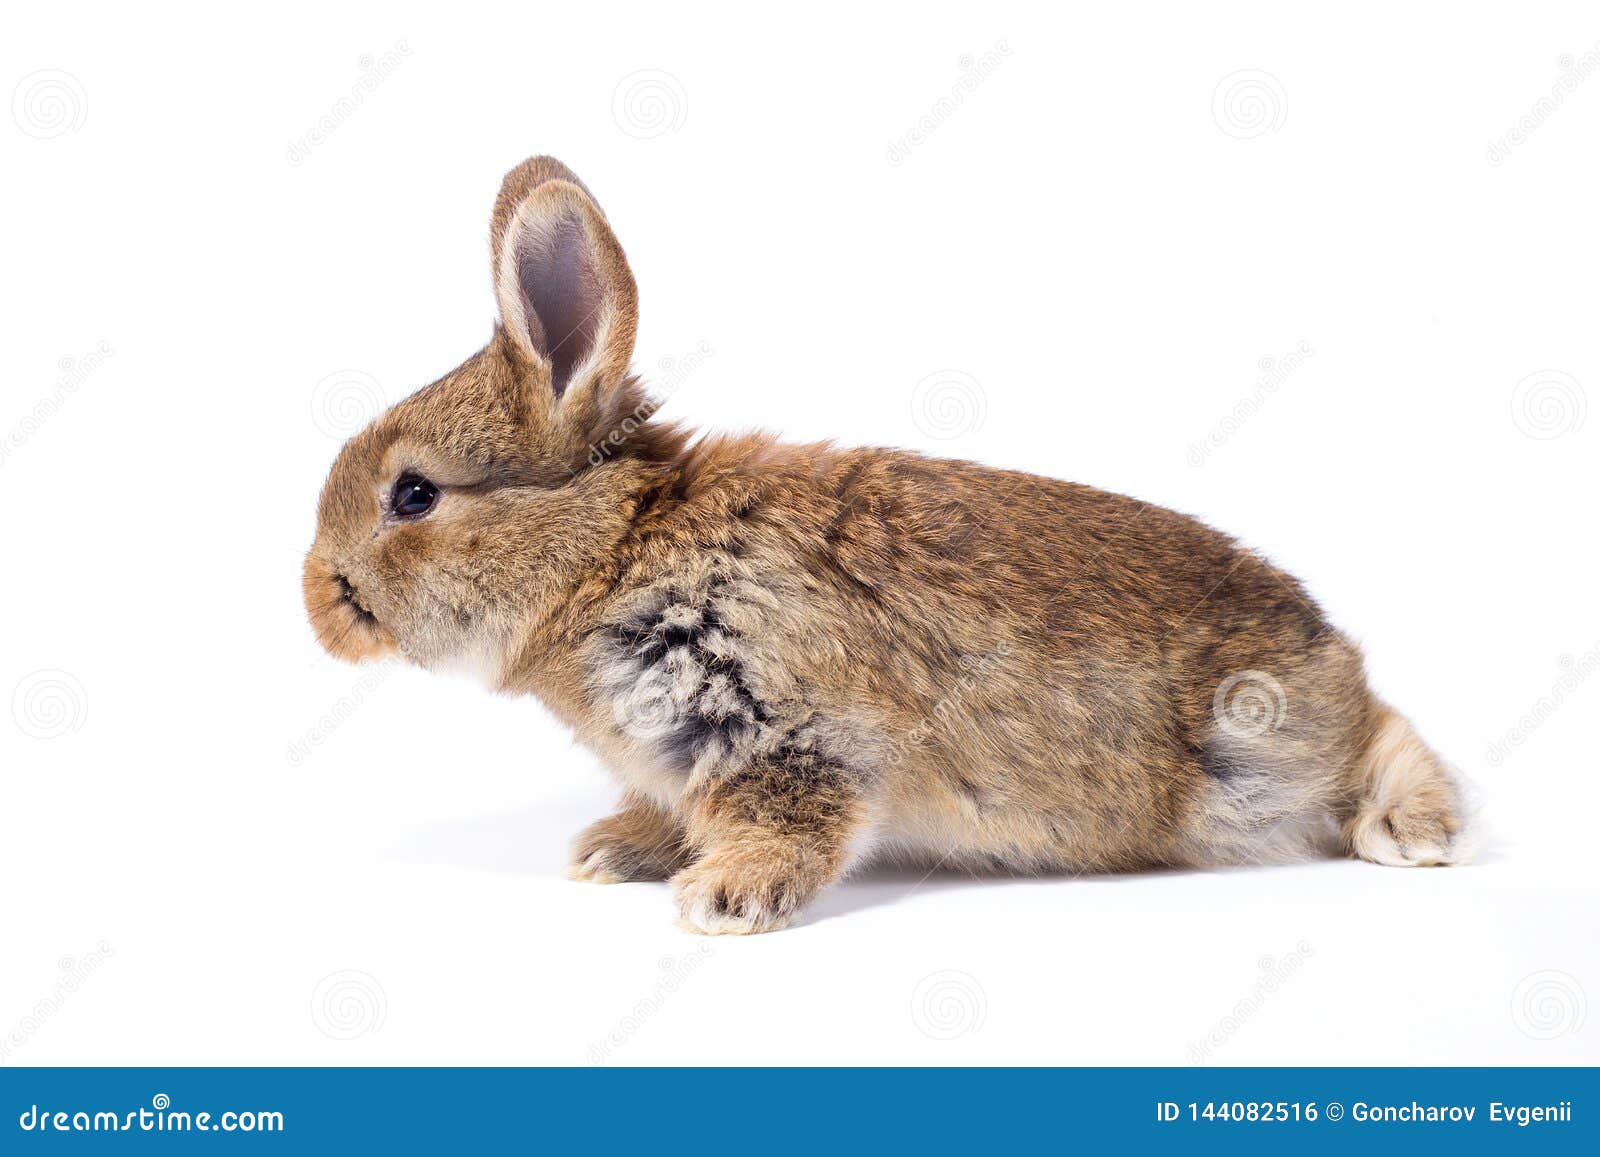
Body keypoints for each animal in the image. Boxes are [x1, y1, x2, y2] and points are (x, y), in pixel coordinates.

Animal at [303, 155, 1474, 934]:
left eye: (413, 494)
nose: (319, 604)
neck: (615, 550)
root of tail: (1324, 648)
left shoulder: (787, 722)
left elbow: (794, 818)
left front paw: (720, 898)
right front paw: (615, 851)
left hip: (1255, 754)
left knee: (1383, 739)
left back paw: (1414, 834)